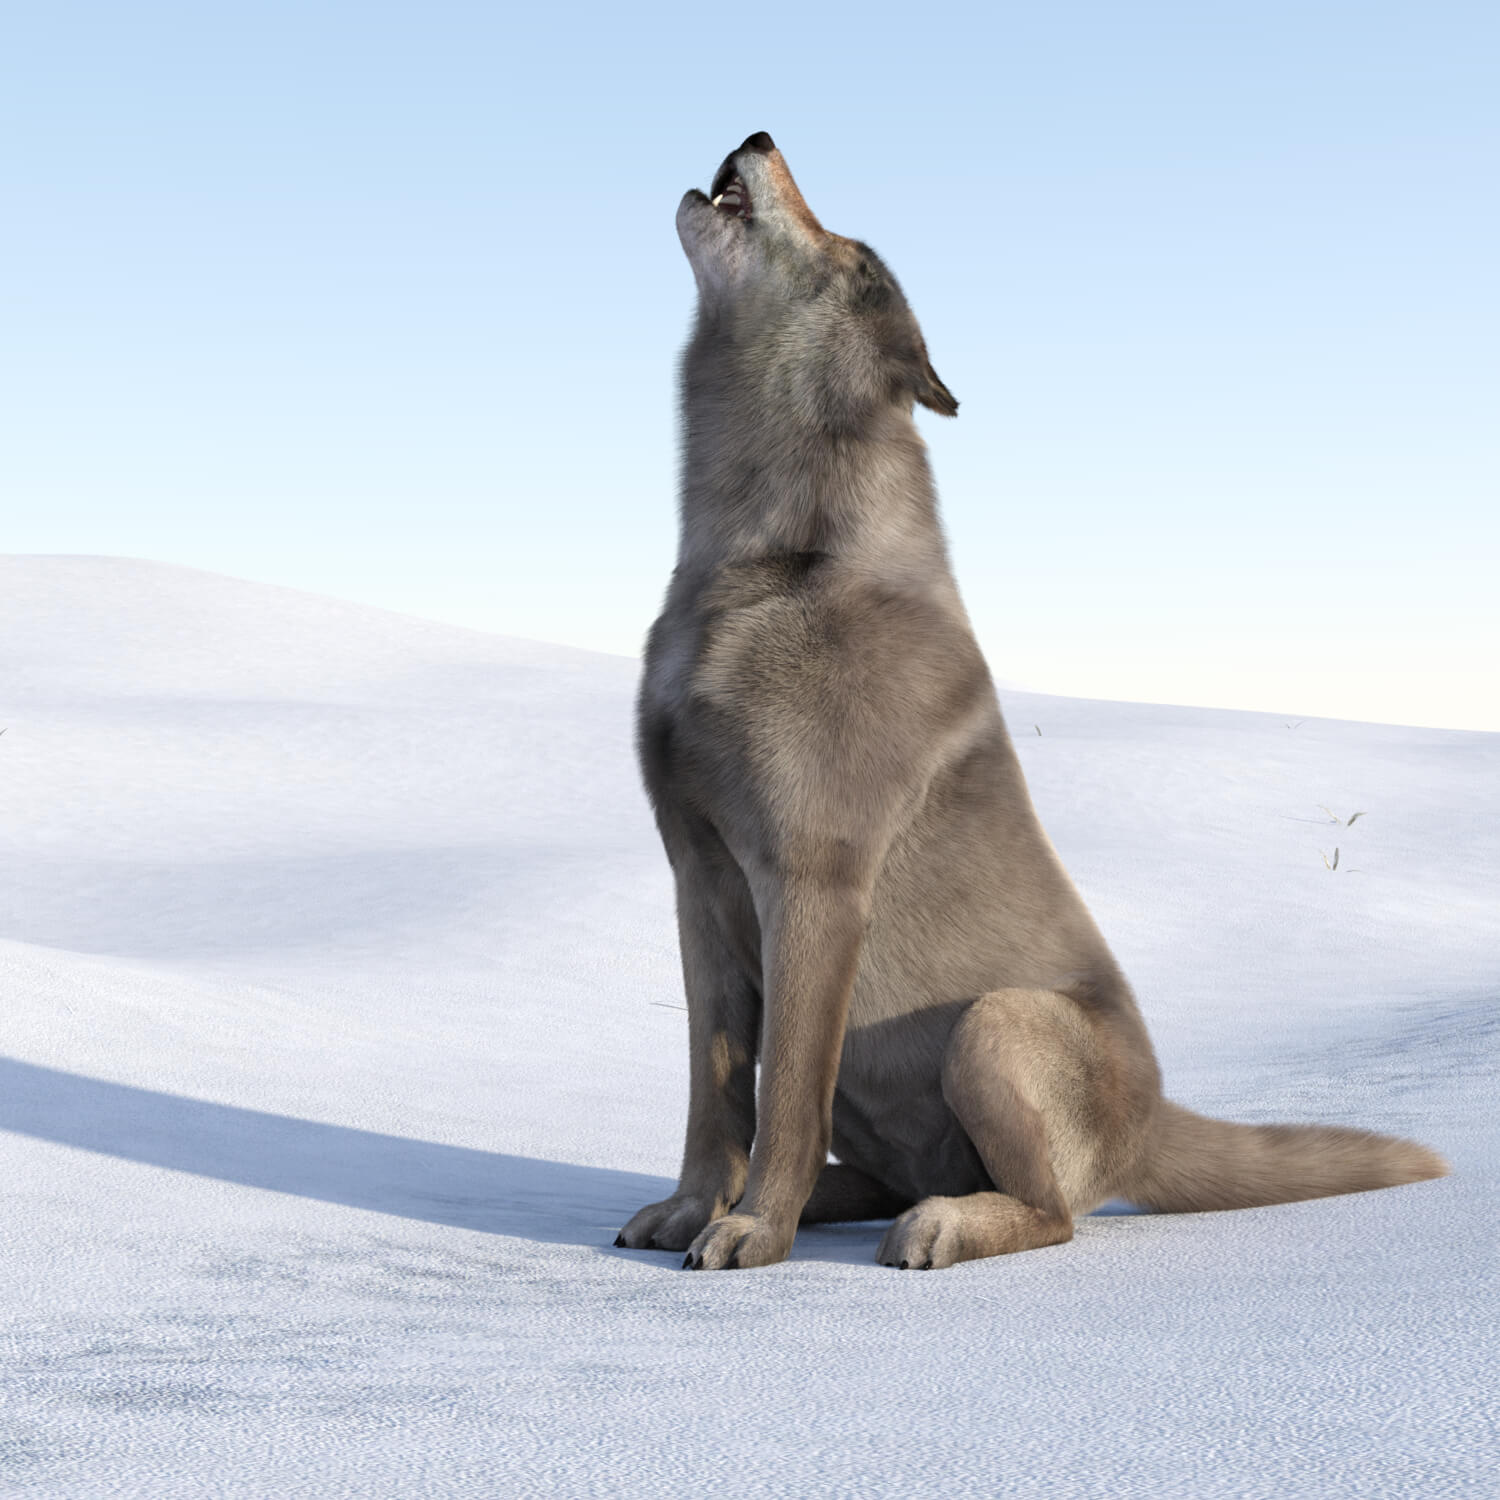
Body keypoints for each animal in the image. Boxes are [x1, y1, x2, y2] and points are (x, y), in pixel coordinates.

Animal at [616, 131, 1446, 1271]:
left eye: (855, 257)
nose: (758, 136)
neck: (772, 559)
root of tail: (1155, 1118)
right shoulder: (699, 881)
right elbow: (715, 1092)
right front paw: (699, 1205)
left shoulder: (817, 880)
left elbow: (782, 1092)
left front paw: (752, 1231)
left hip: (997, 1022)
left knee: (1048, 1211)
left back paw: (941, 1221)